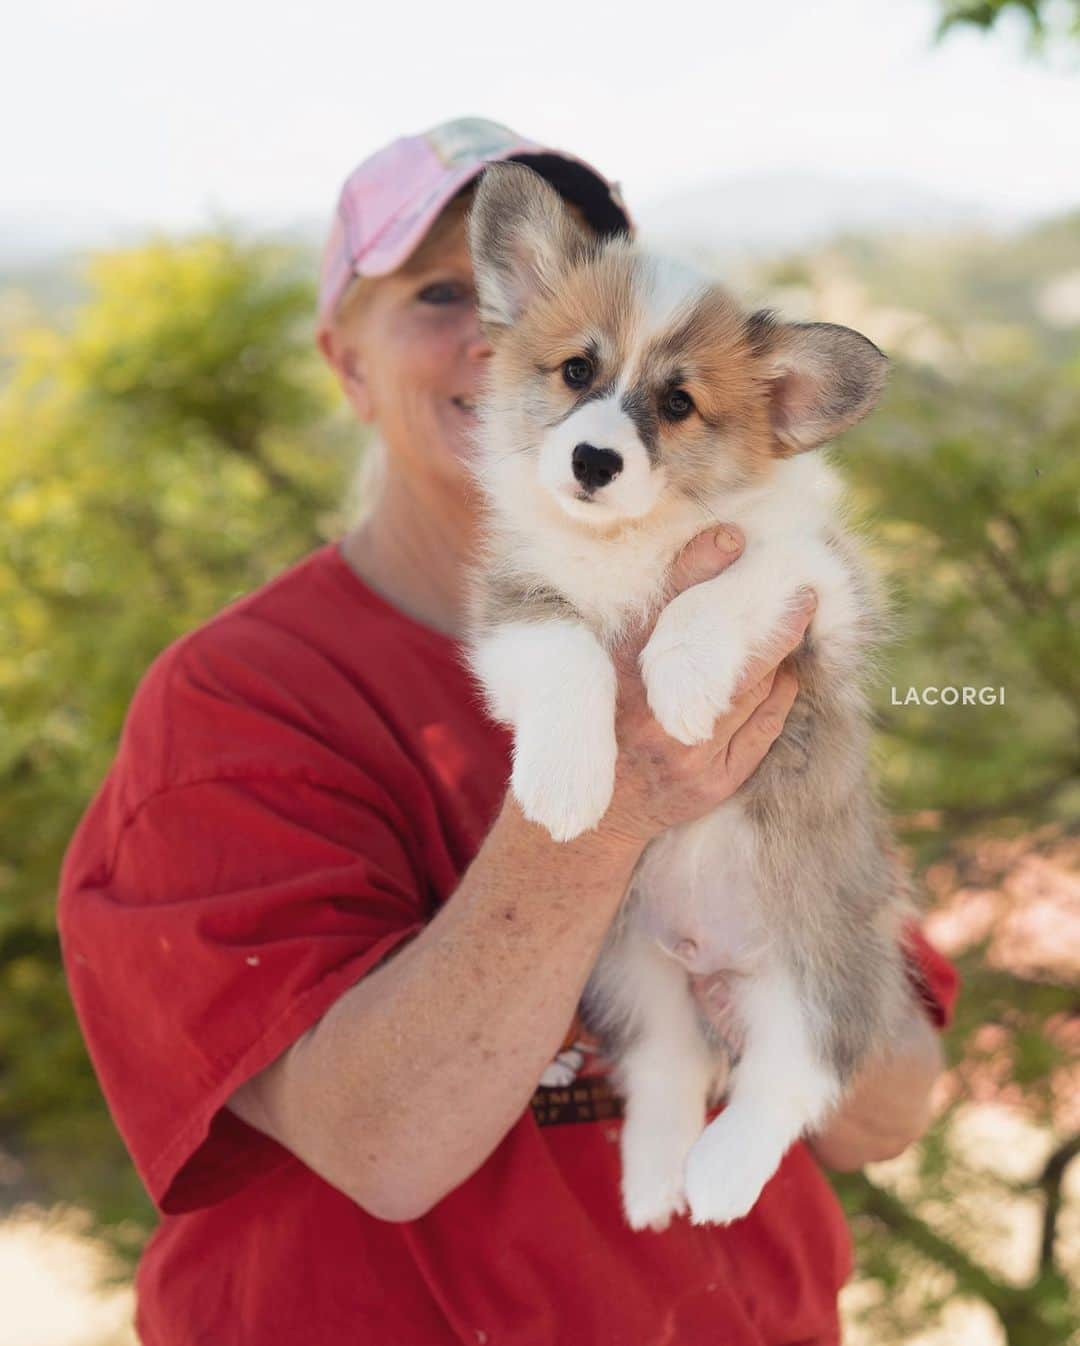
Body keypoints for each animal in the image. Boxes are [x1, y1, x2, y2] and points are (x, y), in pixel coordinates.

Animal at [465, 165, 915, 1232]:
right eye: (575, 372)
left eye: (677, 404)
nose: (593, 462)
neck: (632, 540)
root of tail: (714, 962)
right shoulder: (511, 607)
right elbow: (567, 656)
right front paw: (568, 786)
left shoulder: (823, 594)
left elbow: (726, 583)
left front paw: (680, 683)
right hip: (634, 969)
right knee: (669, 1071)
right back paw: (654, 1179)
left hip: (824, 965)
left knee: (794, 1073)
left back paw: (719, 1174)